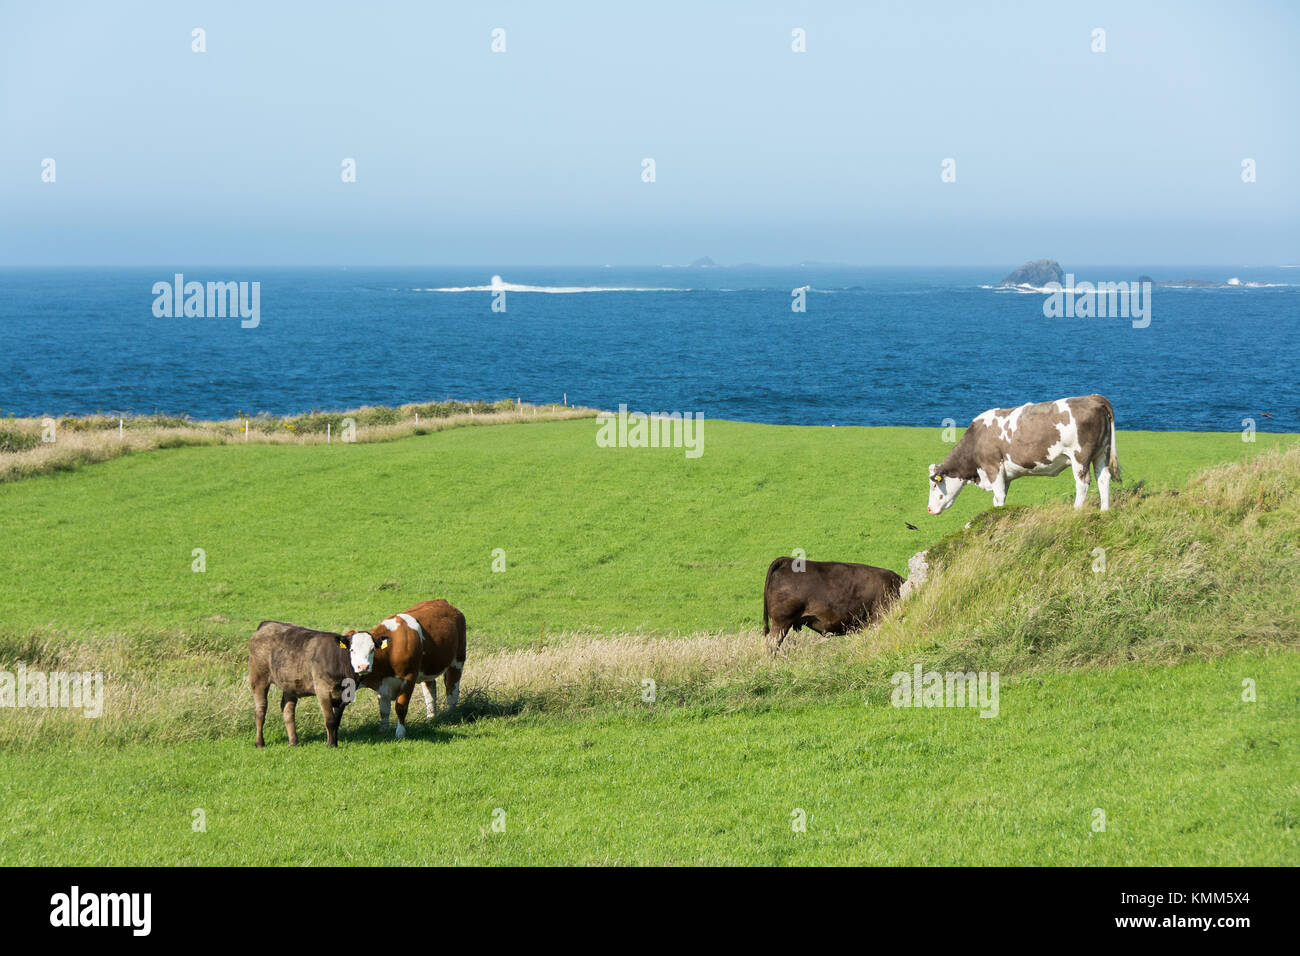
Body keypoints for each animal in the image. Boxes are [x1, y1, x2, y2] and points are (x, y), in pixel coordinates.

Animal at [346, 599, 466, 739]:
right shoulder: (383, 684)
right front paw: (383, 730)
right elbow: (384, 710)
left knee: (452, 689)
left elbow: (400, 706)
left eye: (372, 650)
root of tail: (443, 602)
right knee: (430, 690)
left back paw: (450, 714)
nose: (363, 667)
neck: (390, 651)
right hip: (428, 667)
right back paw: (431, 718)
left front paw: (400, 733)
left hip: (458, 660)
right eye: (351, 650)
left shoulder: (409, 677)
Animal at [927, 394, 1120, 514]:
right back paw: (1104, 510)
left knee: (1082, 483)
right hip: (1101, 453)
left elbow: (998, 497)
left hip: (1080, 456)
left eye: (934, 485)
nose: (929, 509)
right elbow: (1000, 497)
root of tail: (1092, 397)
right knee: (1103, 479)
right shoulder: (1004, 475)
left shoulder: (992, 466)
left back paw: (1076, 509)